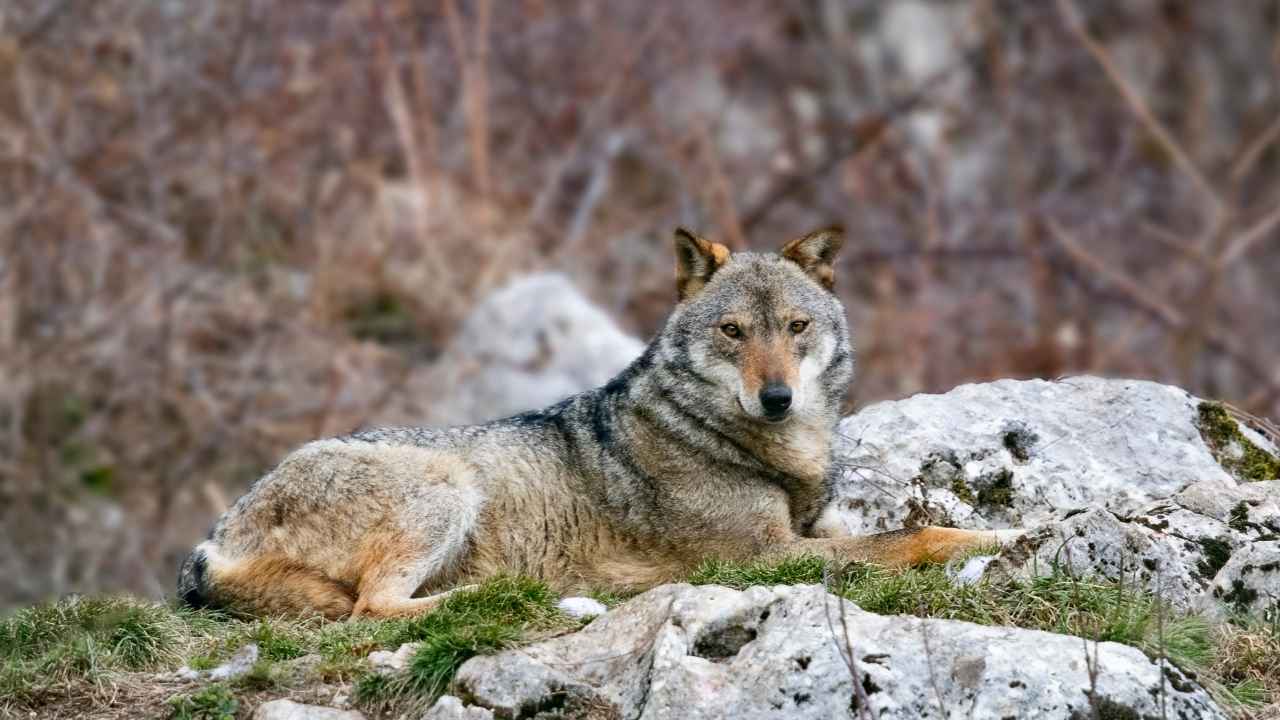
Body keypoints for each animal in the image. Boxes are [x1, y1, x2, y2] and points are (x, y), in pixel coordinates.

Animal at [178, 228, 1016, 619]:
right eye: (734, 332)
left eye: (797, 327)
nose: (776, 397)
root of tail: (214, 539)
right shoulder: (763, 558)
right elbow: (913, 538)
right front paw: (1008, 537)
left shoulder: (806, 533)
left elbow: (900, 525)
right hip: (446, 485)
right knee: (372, 609)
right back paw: (516, 596)